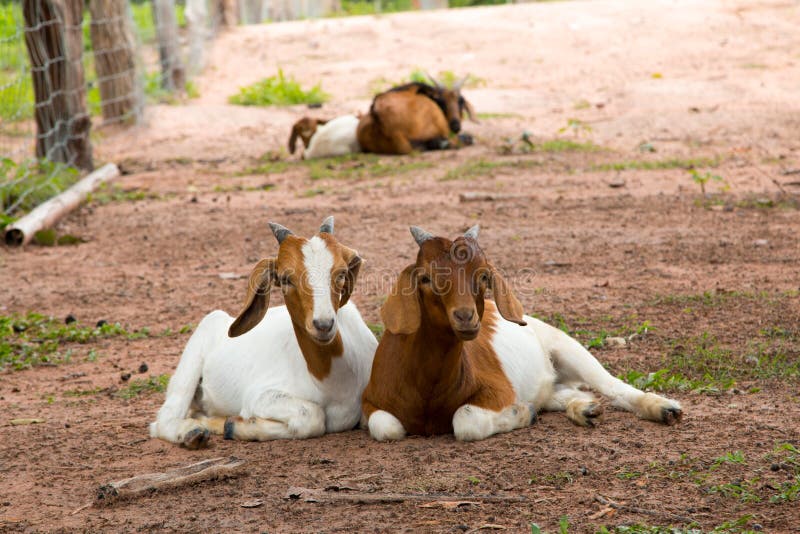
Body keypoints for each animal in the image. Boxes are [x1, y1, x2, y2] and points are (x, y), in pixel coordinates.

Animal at [149, 216, 377, 448]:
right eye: (285, 279)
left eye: (341, 273)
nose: (323, 324)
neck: (331, 383)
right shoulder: (258, 396)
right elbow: (312, 417)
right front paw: (237, 426)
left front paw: (234, 425)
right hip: (191, 362)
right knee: (162, 421)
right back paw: (193, 432)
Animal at [362, 226, 682, 442]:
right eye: (426, 278)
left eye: (483, 275)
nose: (466, 317)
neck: (427, 392)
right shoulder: (370, 402)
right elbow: (387, 428)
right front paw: (529, 411)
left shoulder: (498, 390)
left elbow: (465, 421)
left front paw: (522, 413)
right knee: (566, 393)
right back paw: (584, 408)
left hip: (566, 346)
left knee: (612, 386)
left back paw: (663, 408)